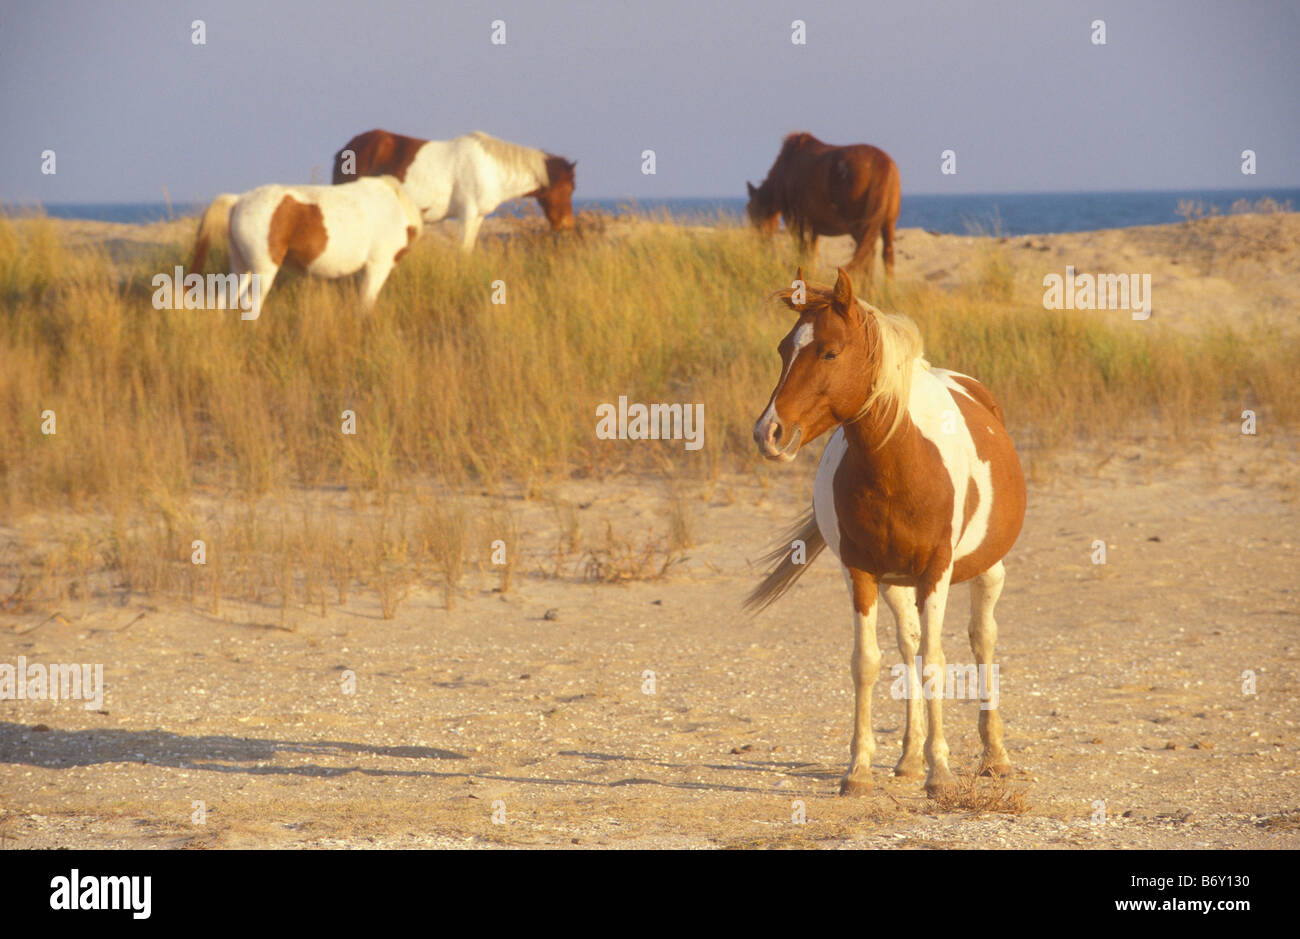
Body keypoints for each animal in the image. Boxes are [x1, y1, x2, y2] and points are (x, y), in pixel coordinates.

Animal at [189, 176, 421, 316]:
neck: (396, 204)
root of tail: (239, 200)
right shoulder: (377, 266)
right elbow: (366, 304)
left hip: (241, 267)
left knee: (224, 300)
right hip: (263, 272)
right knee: (251, 305)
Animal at [332, 129, 577, 251]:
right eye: (568, 188)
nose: (567, 226)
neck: (490, 167)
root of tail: (346, 149)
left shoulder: (478, 217)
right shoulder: (466, 215)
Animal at [746, 133, 900, 288]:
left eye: (753, 215)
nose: (759, 246)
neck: (784, 170)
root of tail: (882, 164)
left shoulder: (796, 224)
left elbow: (802, 251)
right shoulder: (814, 228)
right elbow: (812, 255)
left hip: (859, 227)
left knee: (868, 257)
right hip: (887, 224)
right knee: (886, 256)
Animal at [746, 268, 1026, 797]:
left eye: (830, 352)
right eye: (783, 349)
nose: (768, 433)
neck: (901, 459)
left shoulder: (936, 571)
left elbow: (937, 661)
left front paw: (941, 773)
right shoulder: (860, 572)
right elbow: (868, 662)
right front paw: (860, 770)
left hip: (987, 570)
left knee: (982, 640)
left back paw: (994, 756)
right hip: (897, 584)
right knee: (909, 643)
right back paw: (910, 759)